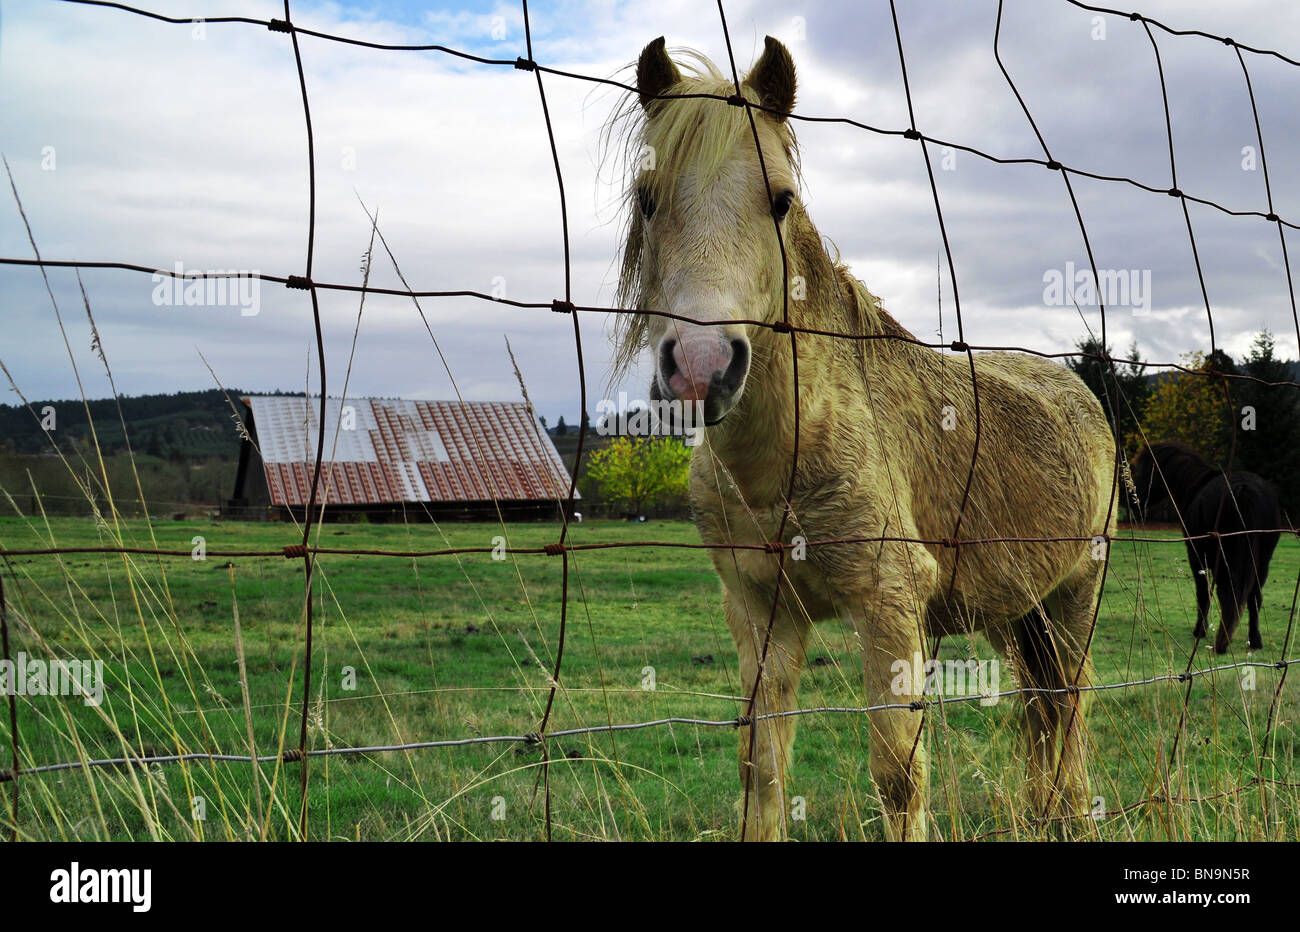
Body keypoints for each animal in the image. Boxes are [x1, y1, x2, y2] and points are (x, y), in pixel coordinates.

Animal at [608, 36, 1117, 840]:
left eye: (780, 200)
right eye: (647, 198)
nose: (702, 366)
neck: (789, 457)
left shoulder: (888, 610)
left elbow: (899, 779)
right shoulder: (759, 612)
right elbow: (761, 769)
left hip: (1074, 599)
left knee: (1067, 703)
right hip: (1017, 613)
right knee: (1041, 708)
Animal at [1130, 441, 1282, 654]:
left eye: (1144, 471)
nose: (1129, 498)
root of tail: (1243, 489)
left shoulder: (1197, 558)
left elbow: (1203, 594)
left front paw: (1199, 631)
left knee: (1227, 594)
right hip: (1261, 563)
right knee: (1253, 597)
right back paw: (1254, 641)